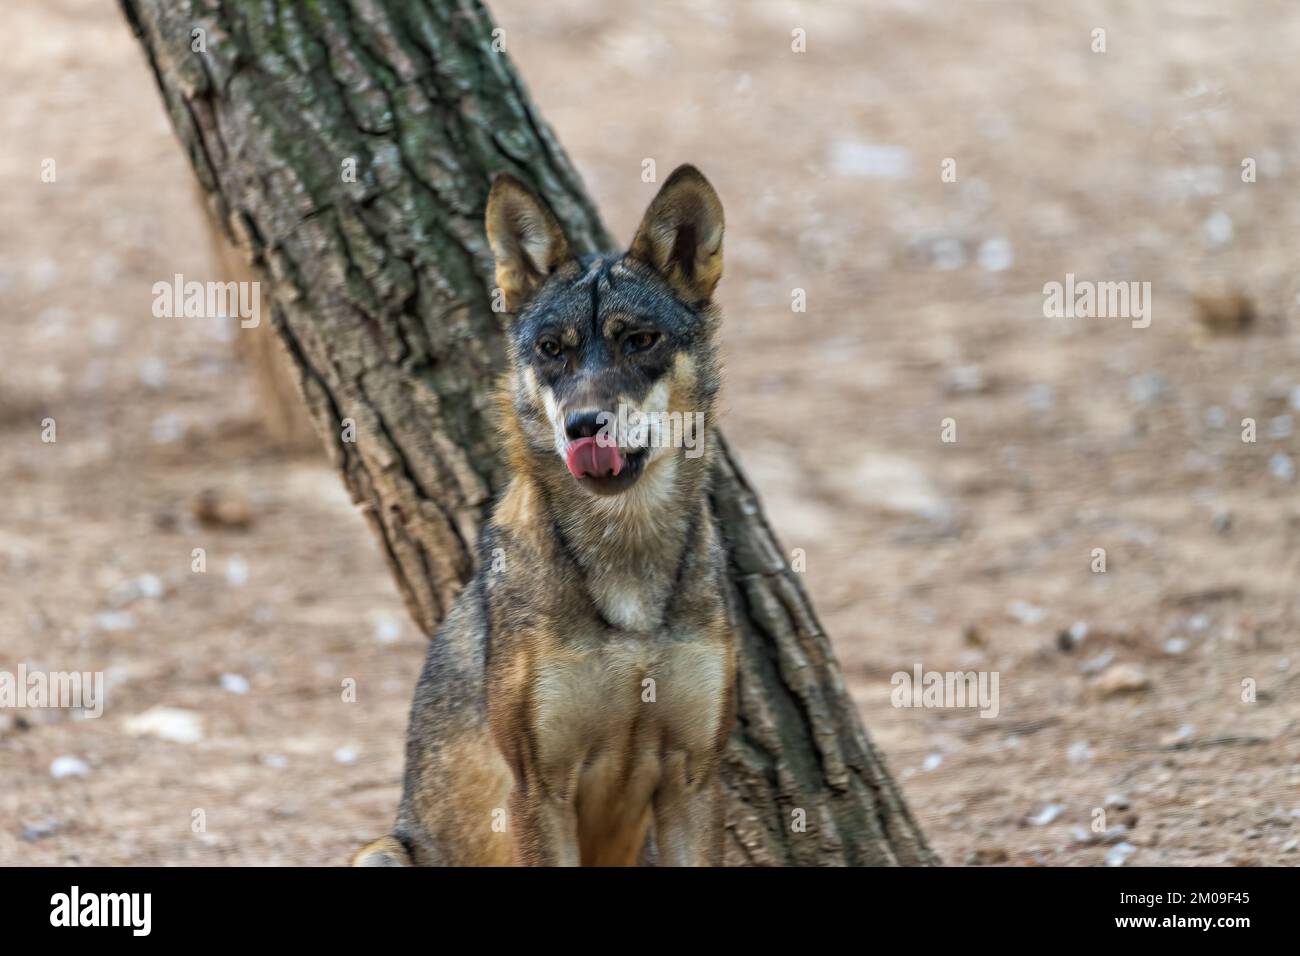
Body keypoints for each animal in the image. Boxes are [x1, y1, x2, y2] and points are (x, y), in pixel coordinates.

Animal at [354, 165, 735, 866]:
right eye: (552, 350)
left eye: (640, 340)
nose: (585, 426)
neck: (625, 553)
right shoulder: (537, 789)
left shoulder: (695, 780)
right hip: (380, 851)